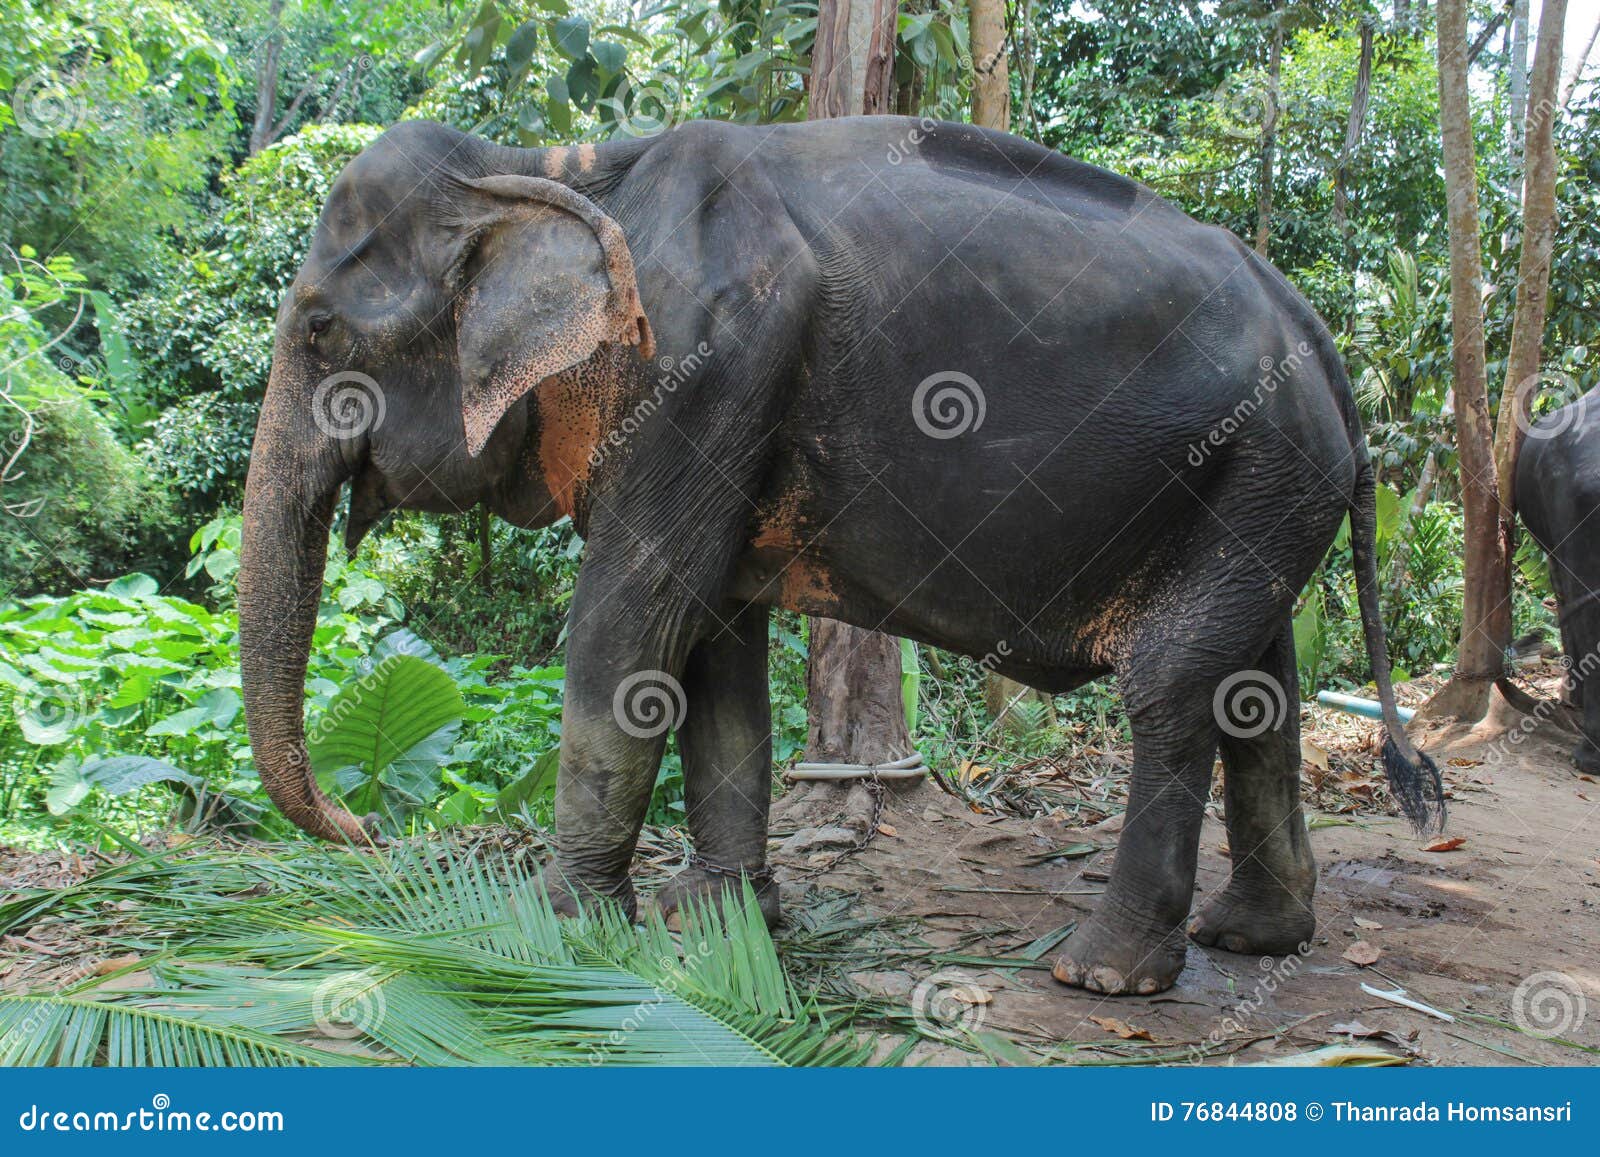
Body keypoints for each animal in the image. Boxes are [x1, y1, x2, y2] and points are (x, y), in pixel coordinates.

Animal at [237, 115, 1443, 996]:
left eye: (320, 335)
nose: (367, 829)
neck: (551, 167)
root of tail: (1319, 332)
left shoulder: (708, 363)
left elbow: (633, 620)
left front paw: (555, 923)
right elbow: (712, 641)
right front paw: (717, 915)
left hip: (1259, 467)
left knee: (1174, 685)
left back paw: (1101, 975)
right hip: (1264, 483)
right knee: (1259, 682)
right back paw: (1253, 935)